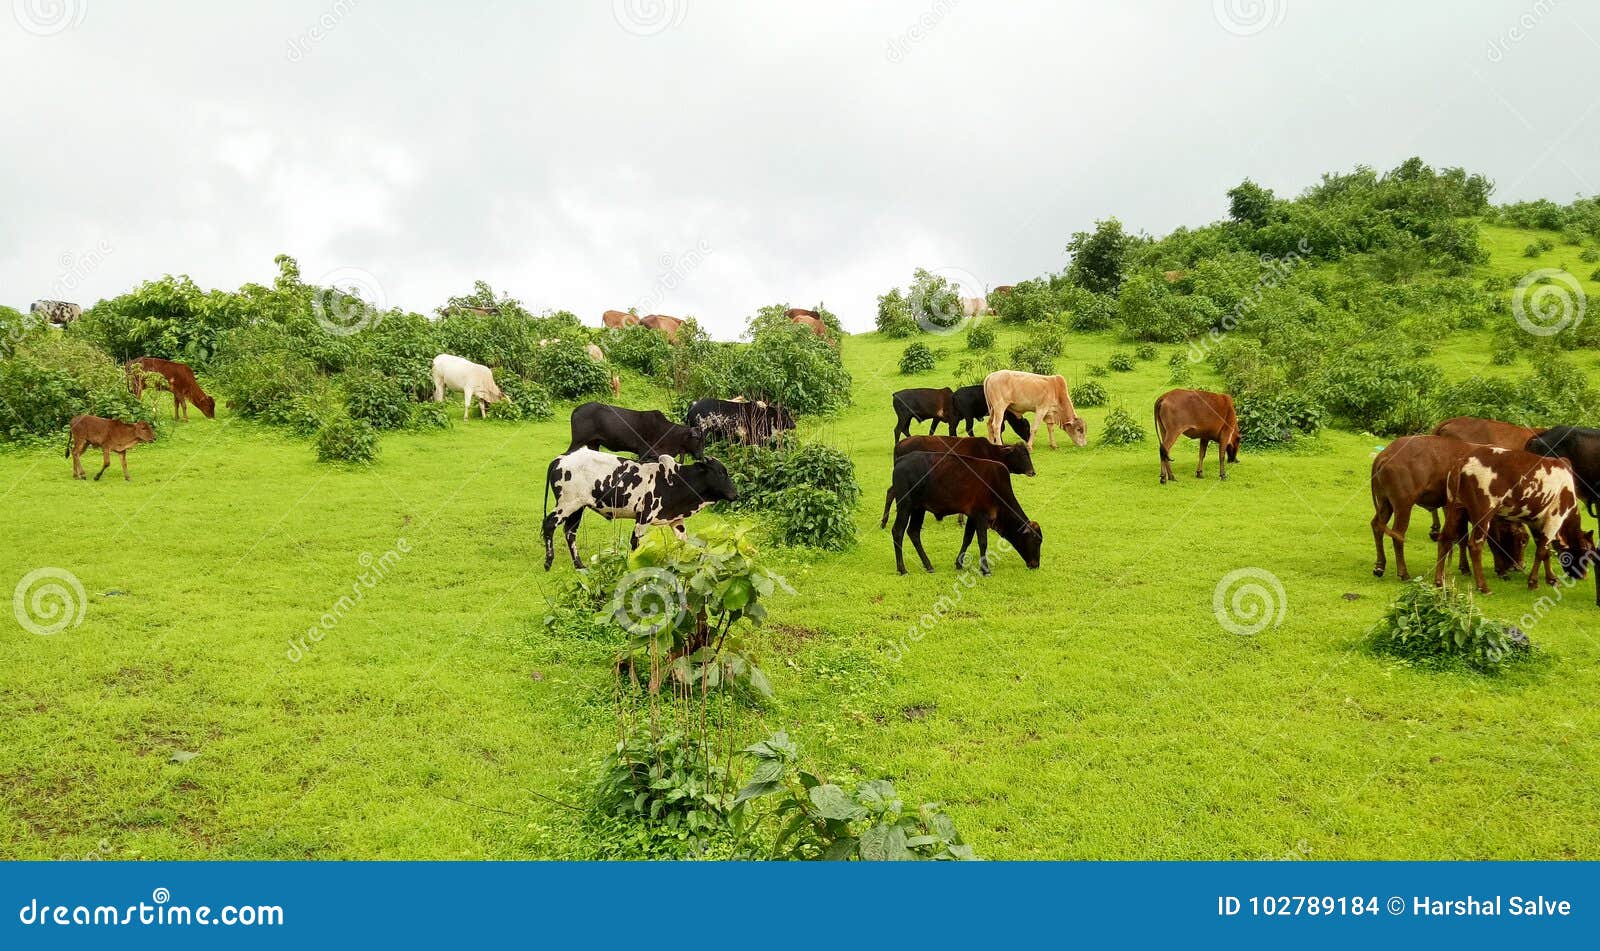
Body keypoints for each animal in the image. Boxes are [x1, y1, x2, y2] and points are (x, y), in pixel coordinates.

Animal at [542, 449, 738, 569]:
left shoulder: (676, 520)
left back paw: (580, 565)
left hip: (578, 507)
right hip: (567, 504)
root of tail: (561, 458)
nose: (735, 494)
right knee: (549, 524)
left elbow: (684, 542)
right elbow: (635, 543)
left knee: (569, 532)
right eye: (721, 473)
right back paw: (548, 562)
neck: (676, 480)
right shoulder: (644, 517)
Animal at [566, 402, 705, 460]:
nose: (700, 456)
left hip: (594, 443)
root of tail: (576, 409)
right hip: (578, 441)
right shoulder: (643, 452)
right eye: (698, 438)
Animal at [883, 452, 1042, 575]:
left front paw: (959, 564)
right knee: (898, 531)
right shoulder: (981, 516)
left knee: (913, 532)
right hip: (905, 505)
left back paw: (928, 565)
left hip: (919, 508)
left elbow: (967, 539)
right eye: (1036, 541)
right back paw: (902, 569)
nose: (1036, 564)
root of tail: (901, 459)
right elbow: (983, 542)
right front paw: (985, 569)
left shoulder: (972, 517)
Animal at [1370, 435, 1528, 581]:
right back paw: (1403, 573)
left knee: (1377, 526)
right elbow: (1493, 539)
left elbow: (1462, 538)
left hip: (1385, 503)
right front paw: (1501, 571)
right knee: (1397, 534)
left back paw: (1379, 566)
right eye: (1523, 540)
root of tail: (1386, 453)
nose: (1521, 566)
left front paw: (1465, 567)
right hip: (1403, 505)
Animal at [1436, 447, 1596, 593]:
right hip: (1483, 514)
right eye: (1587, 554)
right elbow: (1542, 551)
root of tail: (1464, 460)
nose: (1583, 576)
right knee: (1475, 546)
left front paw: (1551, 579)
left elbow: (1544, 550)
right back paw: (1483, 587)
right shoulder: (1555, 517)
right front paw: (1533, 582)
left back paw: (1439, 581)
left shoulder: (1535, 521)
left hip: (1455, 508)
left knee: (1445, 539)